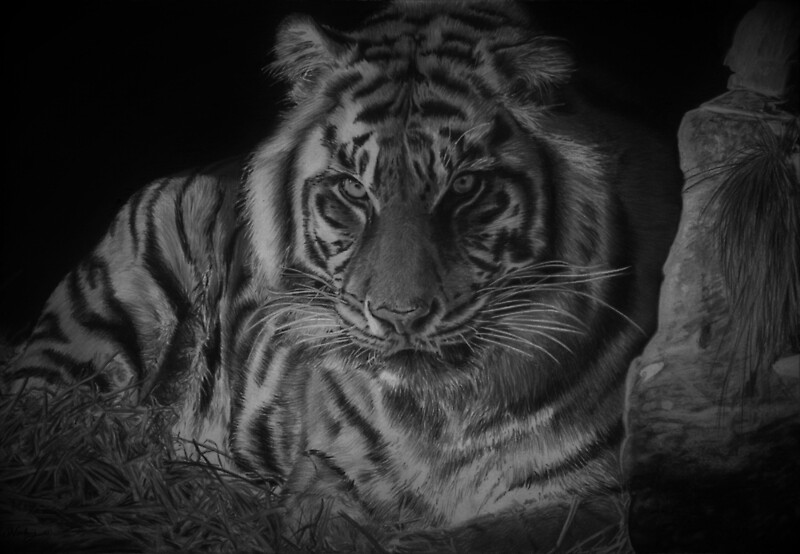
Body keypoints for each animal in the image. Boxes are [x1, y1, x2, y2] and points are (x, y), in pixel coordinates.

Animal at [3, 0, 682, 551]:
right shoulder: (329, 467)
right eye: (354, 190)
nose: (399, 315)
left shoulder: (599, 496)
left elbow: (484, 538)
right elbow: (328, 524)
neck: (443, 416)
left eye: (464, 186)